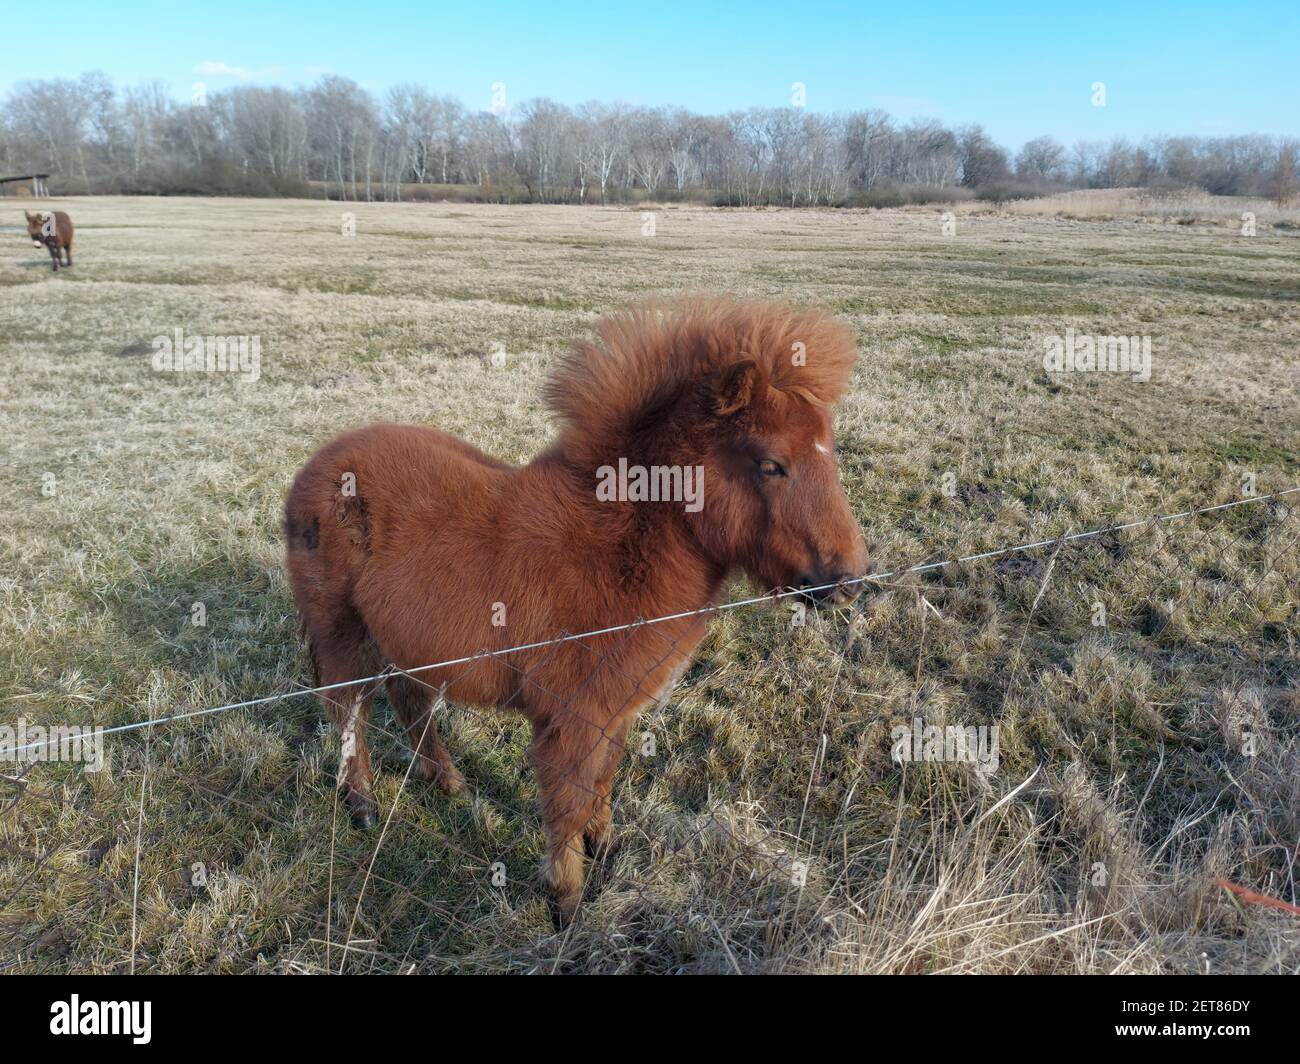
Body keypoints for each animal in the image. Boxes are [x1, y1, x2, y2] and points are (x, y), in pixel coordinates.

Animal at [284, 296, 870, 921]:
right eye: (770, 464)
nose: (850, 579)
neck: (616, 547)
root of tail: (316, 465)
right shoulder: (571, 715)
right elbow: (566, 800)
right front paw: (567, 903)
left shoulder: (614, 710)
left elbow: (603, 782)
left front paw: (606, 847)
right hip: (340, 629)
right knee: (349, 707)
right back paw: (363, 804)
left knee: (407, 699)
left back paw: (449, 784)